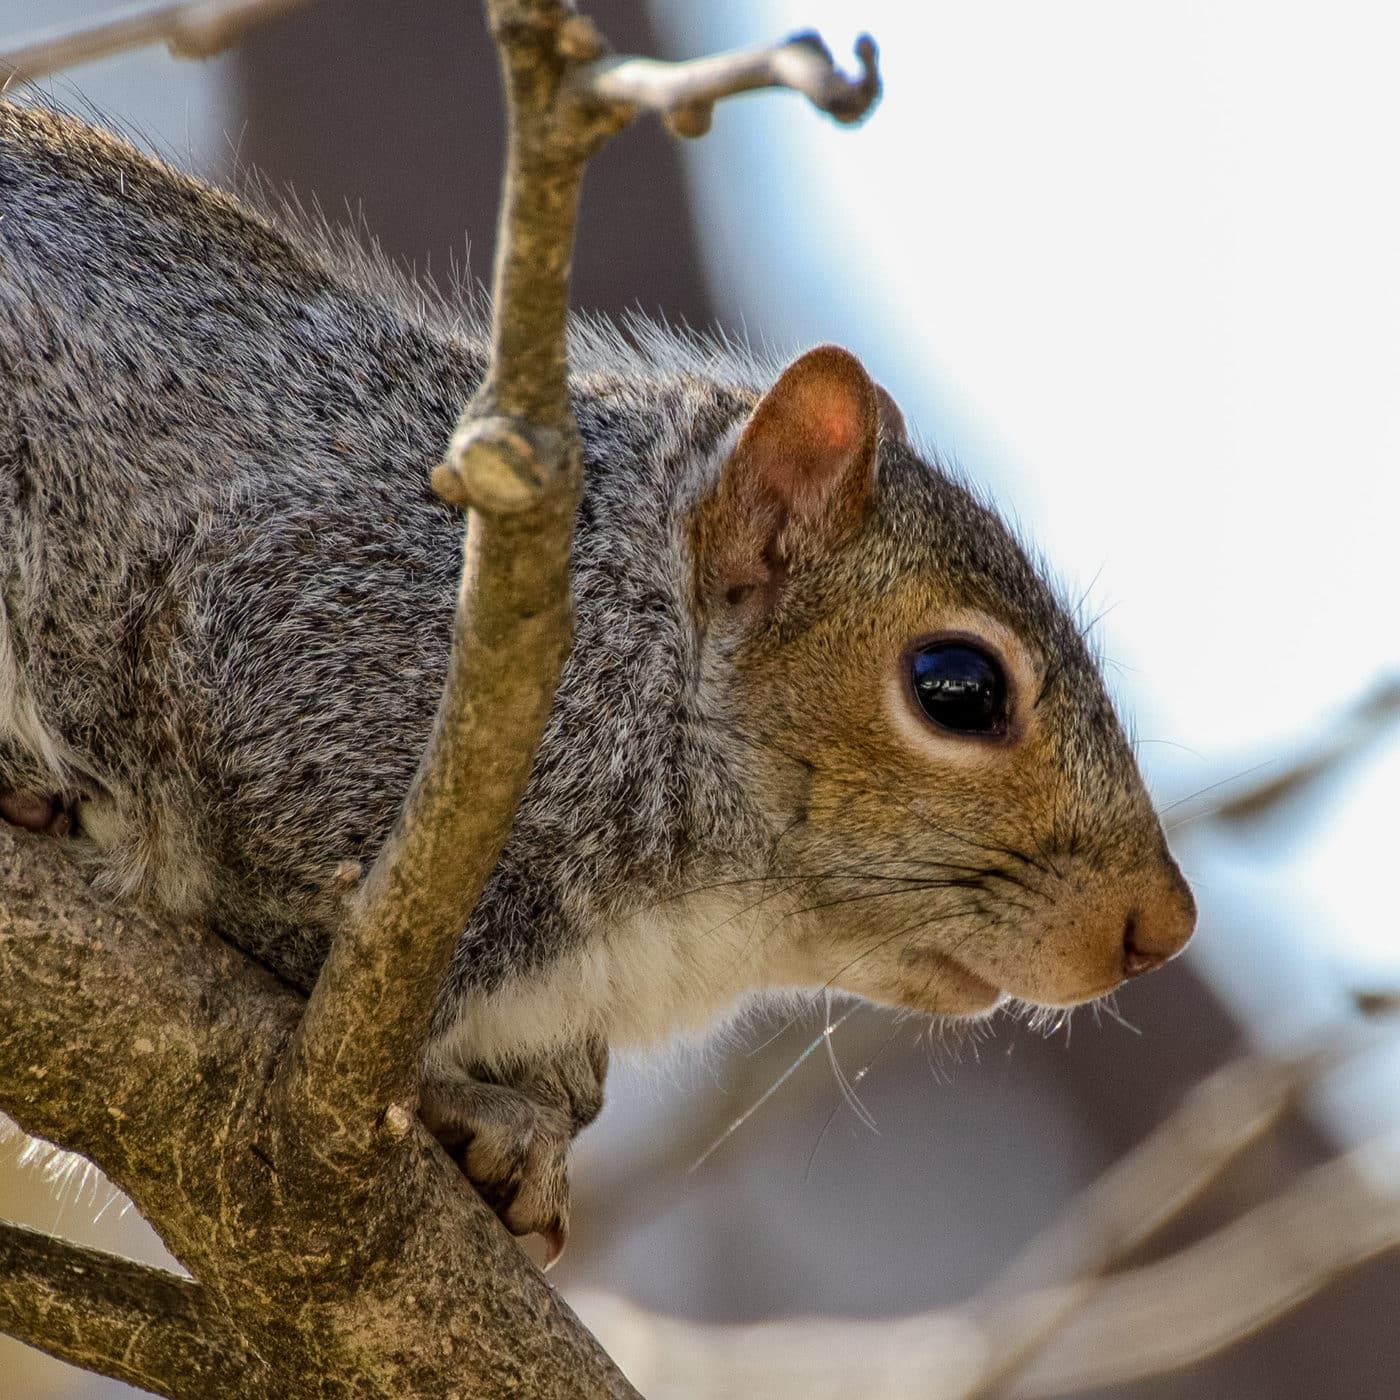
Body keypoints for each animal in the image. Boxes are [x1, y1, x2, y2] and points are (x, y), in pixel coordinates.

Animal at [0, 99, 1195, 1255]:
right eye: (957, 686)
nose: (1161, 928)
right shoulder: (300, 658)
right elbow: (266, 907)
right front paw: (474, 1102)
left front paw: (537, 1129)